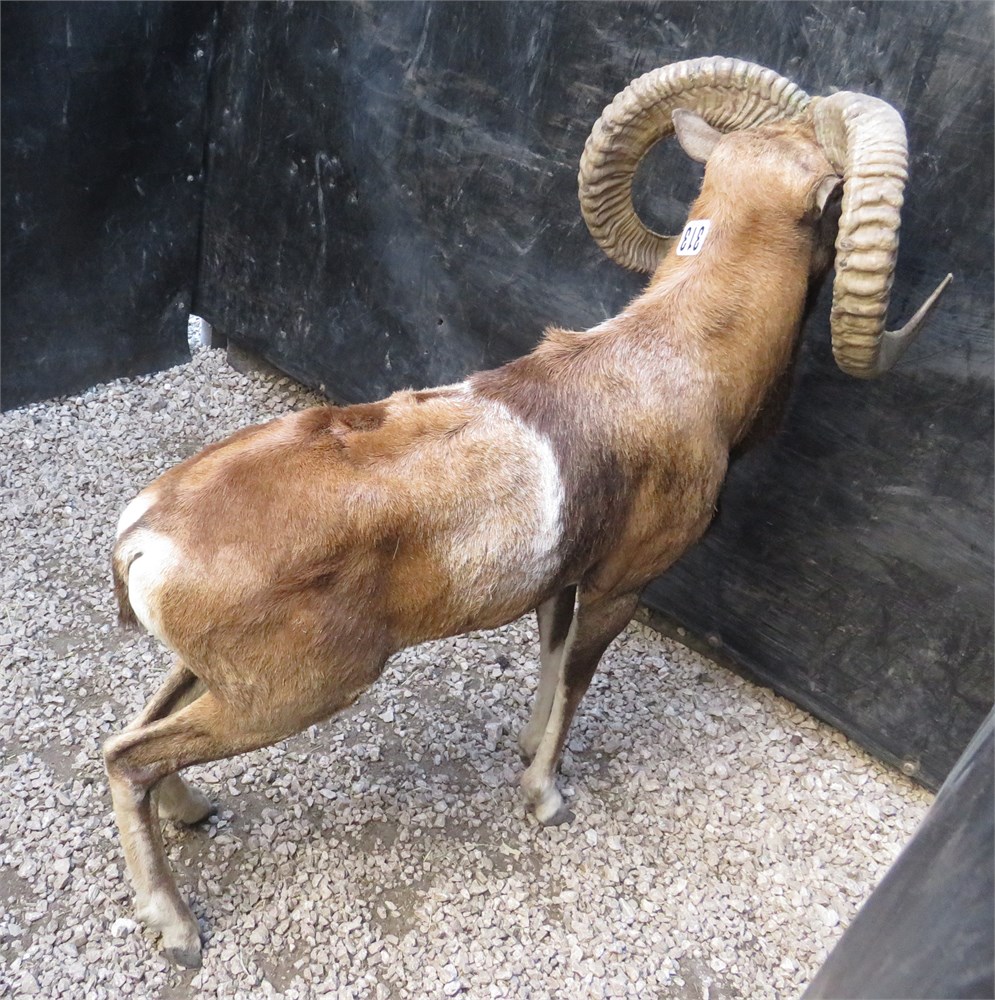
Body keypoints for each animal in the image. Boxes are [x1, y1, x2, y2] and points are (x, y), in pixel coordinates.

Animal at [103, 56, 951, 967]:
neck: (682, 363)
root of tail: (144, 538)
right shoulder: (620, 588)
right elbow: (577, 679)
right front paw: (544, 798)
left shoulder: (562, 581)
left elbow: (549, 660)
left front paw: (521, 748)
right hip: (292, 696)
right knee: (127, 757)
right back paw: (177, 930)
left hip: (216, 677)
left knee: (144, 733)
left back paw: (193, 812)